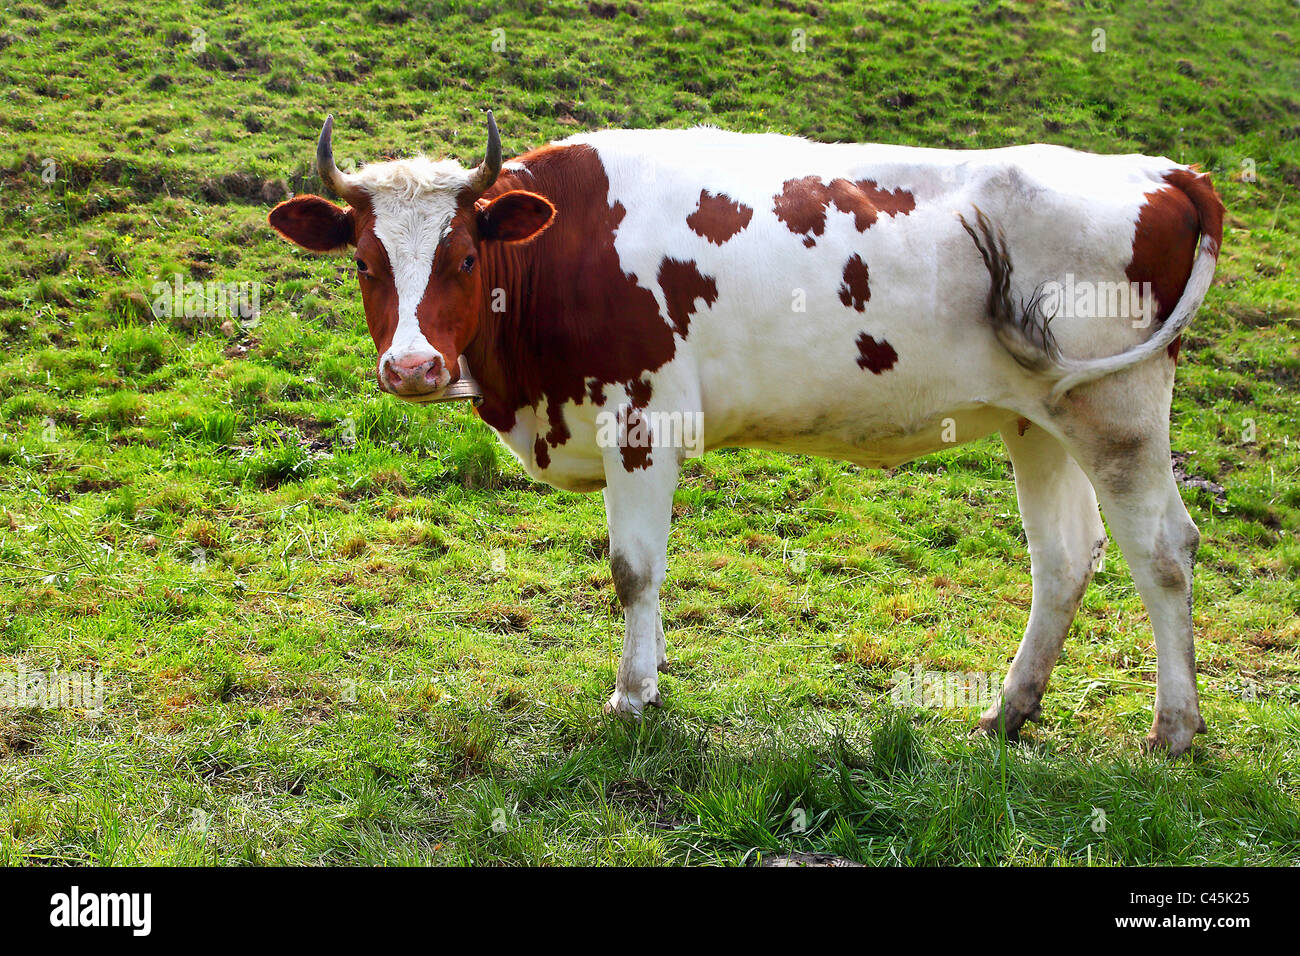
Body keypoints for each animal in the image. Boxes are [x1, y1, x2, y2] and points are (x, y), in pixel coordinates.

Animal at [269, 112, 1224, 756]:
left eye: (464, 257)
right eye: (365, 263)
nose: (412, 368)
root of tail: (1166, 169)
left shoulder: (643, 417)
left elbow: (632, 568)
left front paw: (631, 696)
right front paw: (653, 678)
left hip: (1119, 409)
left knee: (1163, 550)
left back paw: (1174, 728)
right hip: (1042, 417)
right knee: (1063, 558)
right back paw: (1009, 710)